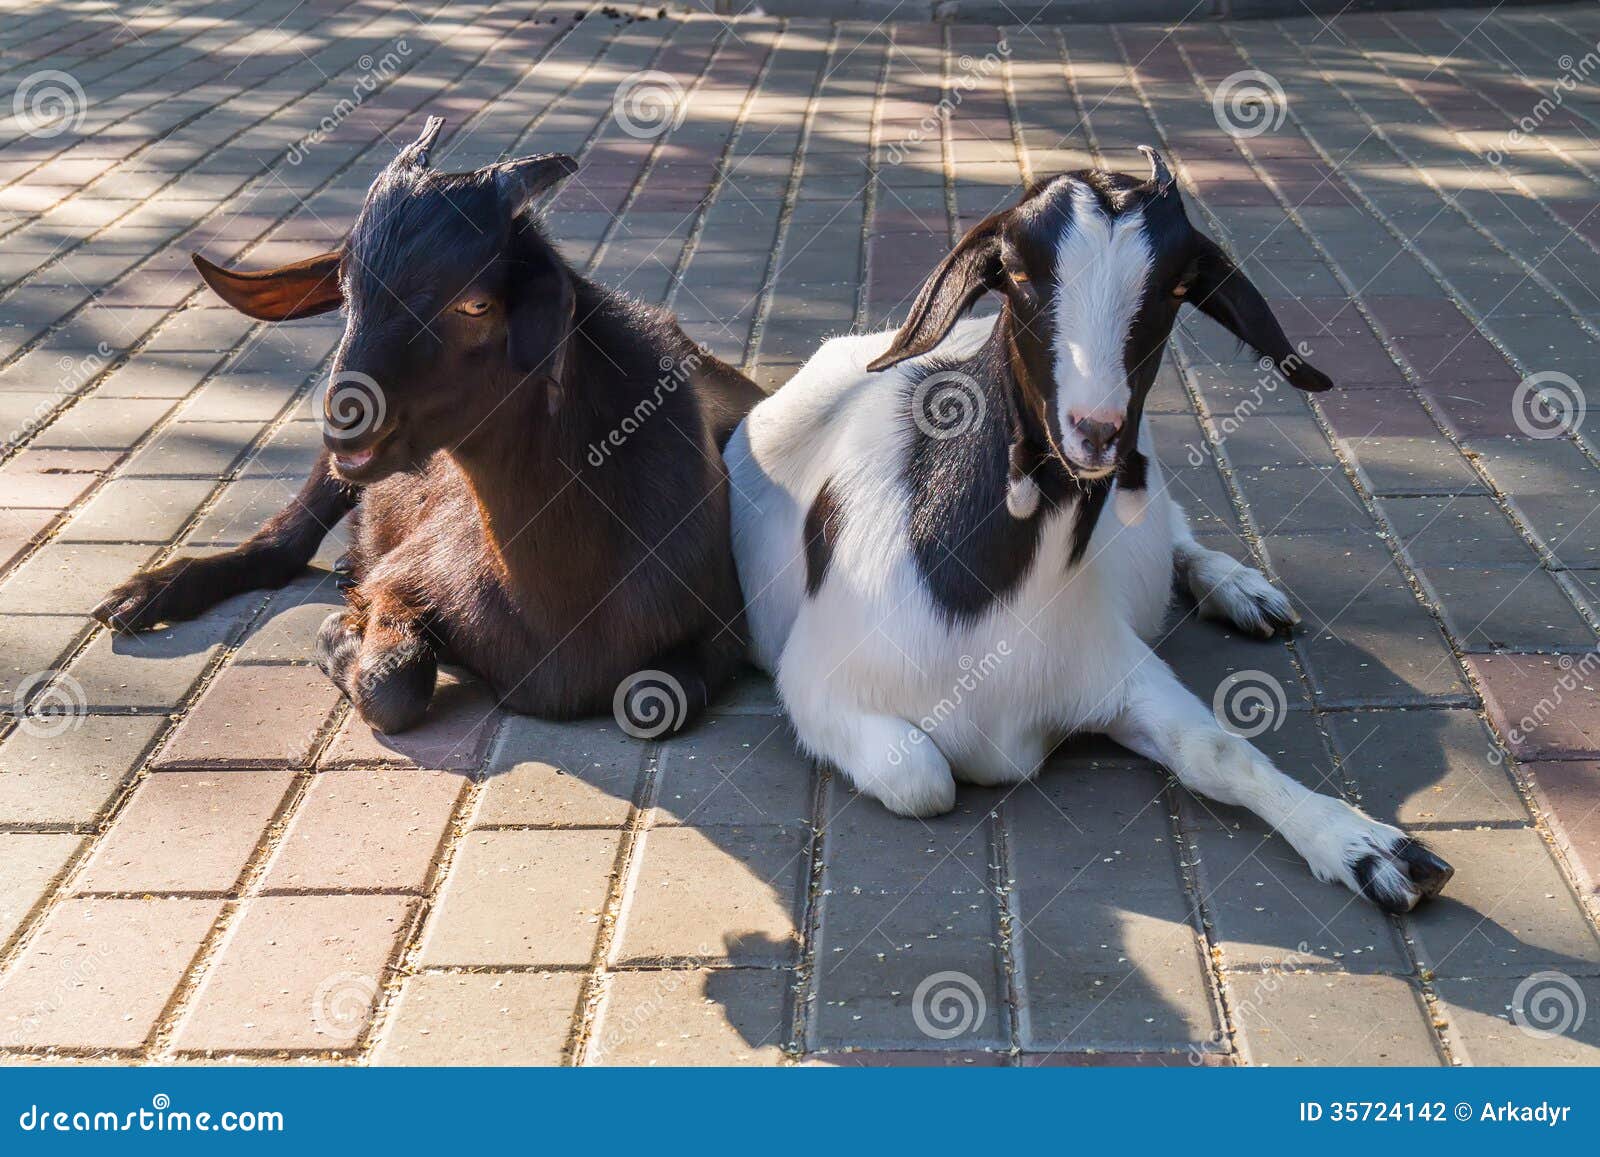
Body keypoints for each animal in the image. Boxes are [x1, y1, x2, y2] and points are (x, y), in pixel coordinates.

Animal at [94, 118, 763, 735]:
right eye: (347, 290)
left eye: (476, 304)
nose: (347, 415)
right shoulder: (406, 574)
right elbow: (392, 682)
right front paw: (340, 631)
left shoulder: (719, 633)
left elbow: (652, 704)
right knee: (281, 546)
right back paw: (146, 594)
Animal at [724, 149, 1454, 913]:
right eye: (1016, 273)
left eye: (1178, 286)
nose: (1097, 430)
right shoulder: (815, 686)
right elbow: (921, 776)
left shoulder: (1114, 662)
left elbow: (1215, 751)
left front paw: (1371, 848)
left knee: (1178, 533)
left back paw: (1240, 588)